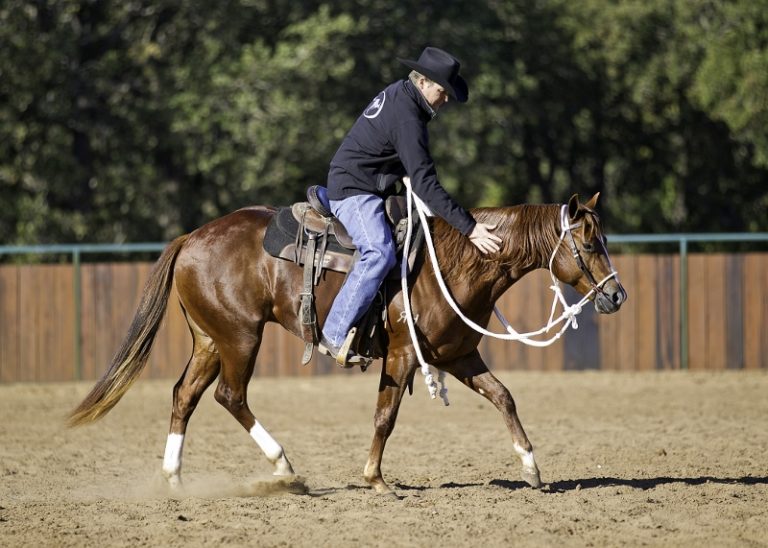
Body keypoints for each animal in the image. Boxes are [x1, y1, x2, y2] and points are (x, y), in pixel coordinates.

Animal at [68, 192, 626, 494]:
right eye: (590, 241)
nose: (617, 294)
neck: (455, 262)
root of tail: (191, 238)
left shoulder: (458, 355)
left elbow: (504, 396)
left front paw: (531, 467)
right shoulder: (403, 354)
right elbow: (385, 416)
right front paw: (375, 477)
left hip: (210, 339)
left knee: (185, 396)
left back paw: (176, 480)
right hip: (240, 336)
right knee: (231, 395)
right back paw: (283, 467)